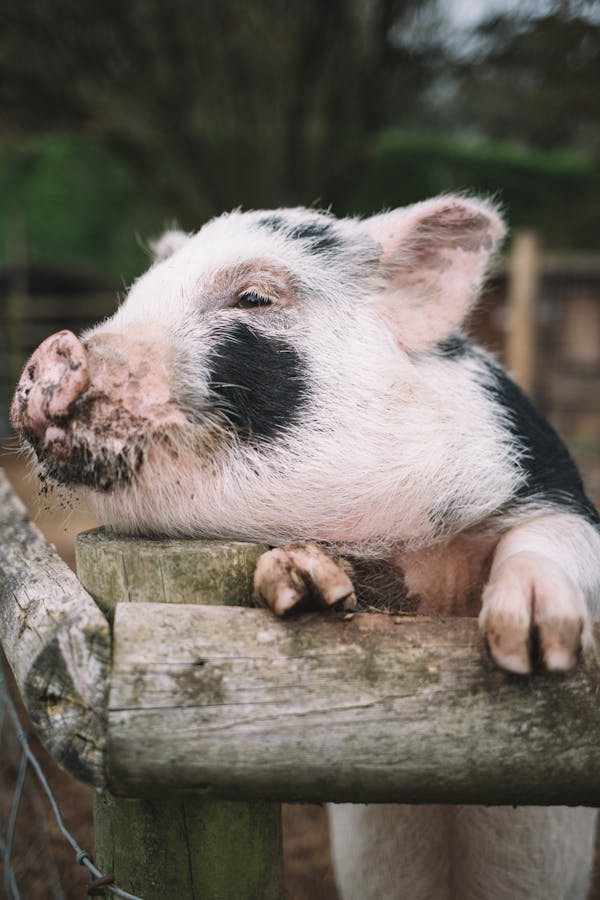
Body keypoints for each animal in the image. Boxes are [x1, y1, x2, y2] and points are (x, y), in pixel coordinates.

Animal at [11, 196, 600, 900]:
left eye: (256, 297)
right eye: (137, 293)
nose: (54, 347)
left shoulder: (550, 483)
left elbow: (554, 537)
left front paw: (530, 647)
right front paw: (304, 582)